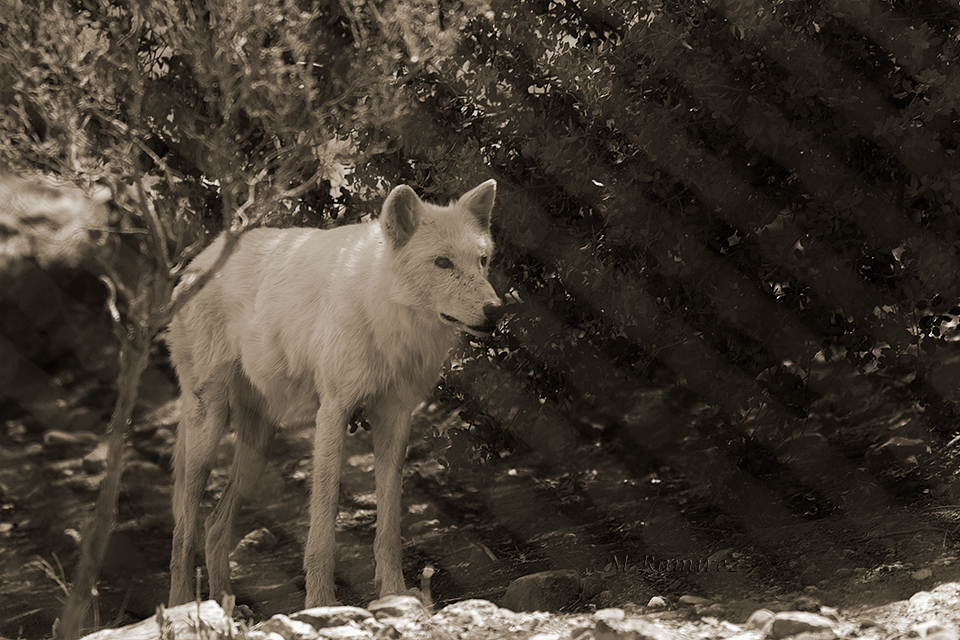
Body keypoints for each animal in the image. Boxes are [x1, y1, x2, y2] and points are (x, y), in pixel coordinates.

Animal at [167, 179, 503, 607]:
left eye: (482, 260)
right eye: (442, 263)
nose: (495, 310)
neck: (384, 314)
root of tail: (203, 257)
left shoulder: (396, 416)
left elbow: (389, 522)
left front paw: (394, 593)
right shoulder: (333, 413)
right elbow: (324, 520)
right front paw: (321, 602)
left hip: (257, 452)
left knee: (212, 525)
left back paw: (225, 604)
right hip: (207, 435)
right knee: (184, 527)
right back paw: (182, 605)